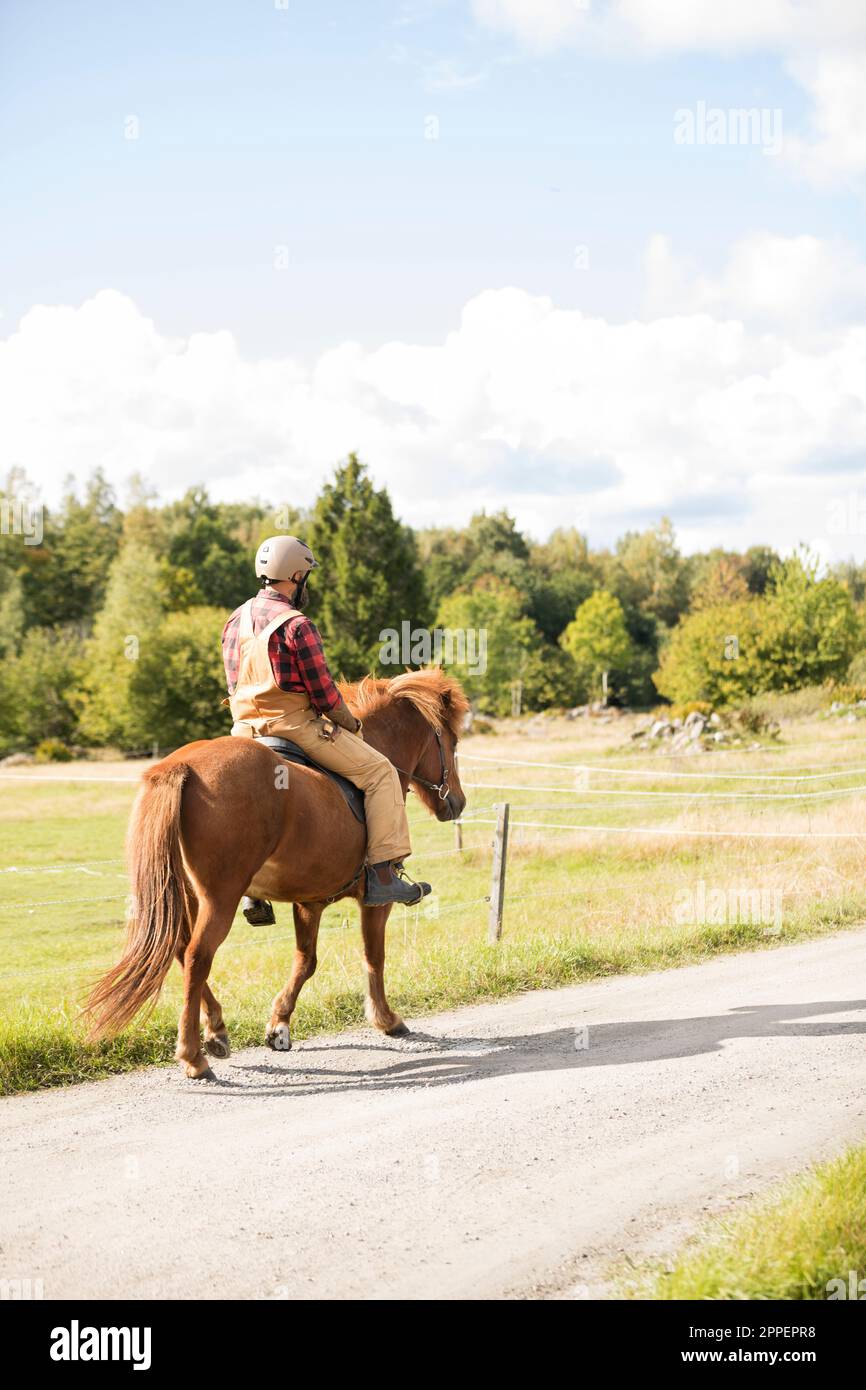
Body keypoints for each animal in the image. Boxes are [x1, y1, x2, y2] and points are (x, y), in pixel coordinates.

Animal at [84, 669, 469, 1078]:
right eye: (452, 741)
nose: (458, 802)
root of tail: (182, 766)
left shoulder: (309, 902)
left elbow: (306, 961)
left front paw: (279, 1025)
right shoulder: (374, 902)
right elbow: (373, 956)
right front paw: (386, 1018)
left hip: (184, 895)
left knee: (180, 950)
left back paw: (216, 1029)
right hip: (219, 899)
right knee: (197, 957)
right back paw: (193, 1056)